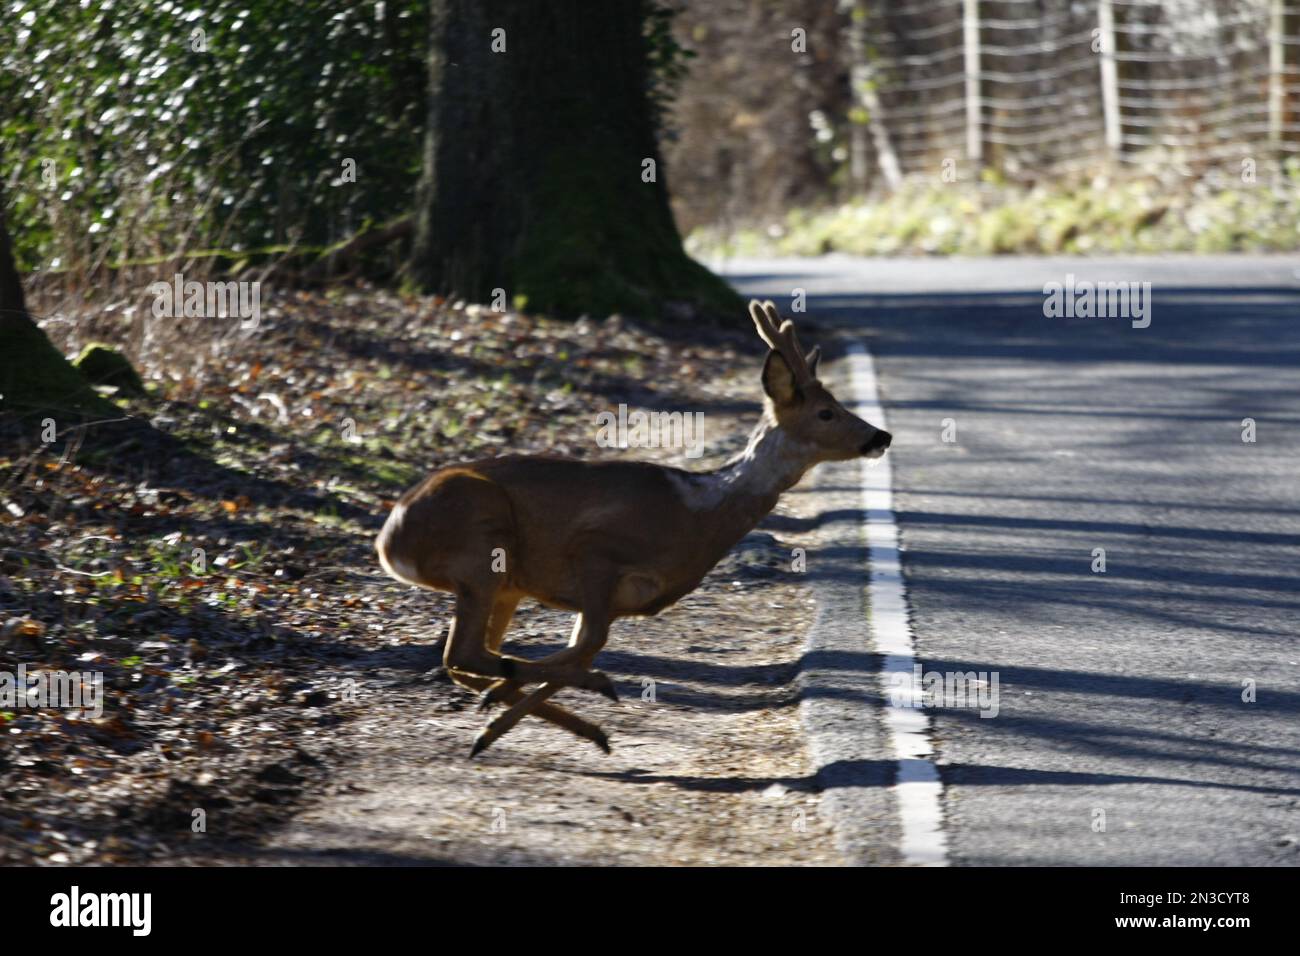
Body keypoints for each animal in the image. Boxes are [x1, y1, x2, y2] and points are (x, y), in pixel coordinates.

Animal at [375, 300, 891, 757]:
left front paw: (526, 721)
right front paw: (536, 704)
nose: (880, 436)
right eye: (826, 412)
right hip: (482, 540)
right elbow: (591, 643)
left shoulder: (613, 598)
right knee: (464, 653)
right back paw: (577, 691)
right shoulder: (596, 549)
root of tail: (389, 541)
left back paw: (515, 719)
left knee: (468, 656)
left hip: (505, 583)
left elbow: (582, 646)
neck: (697, 513)